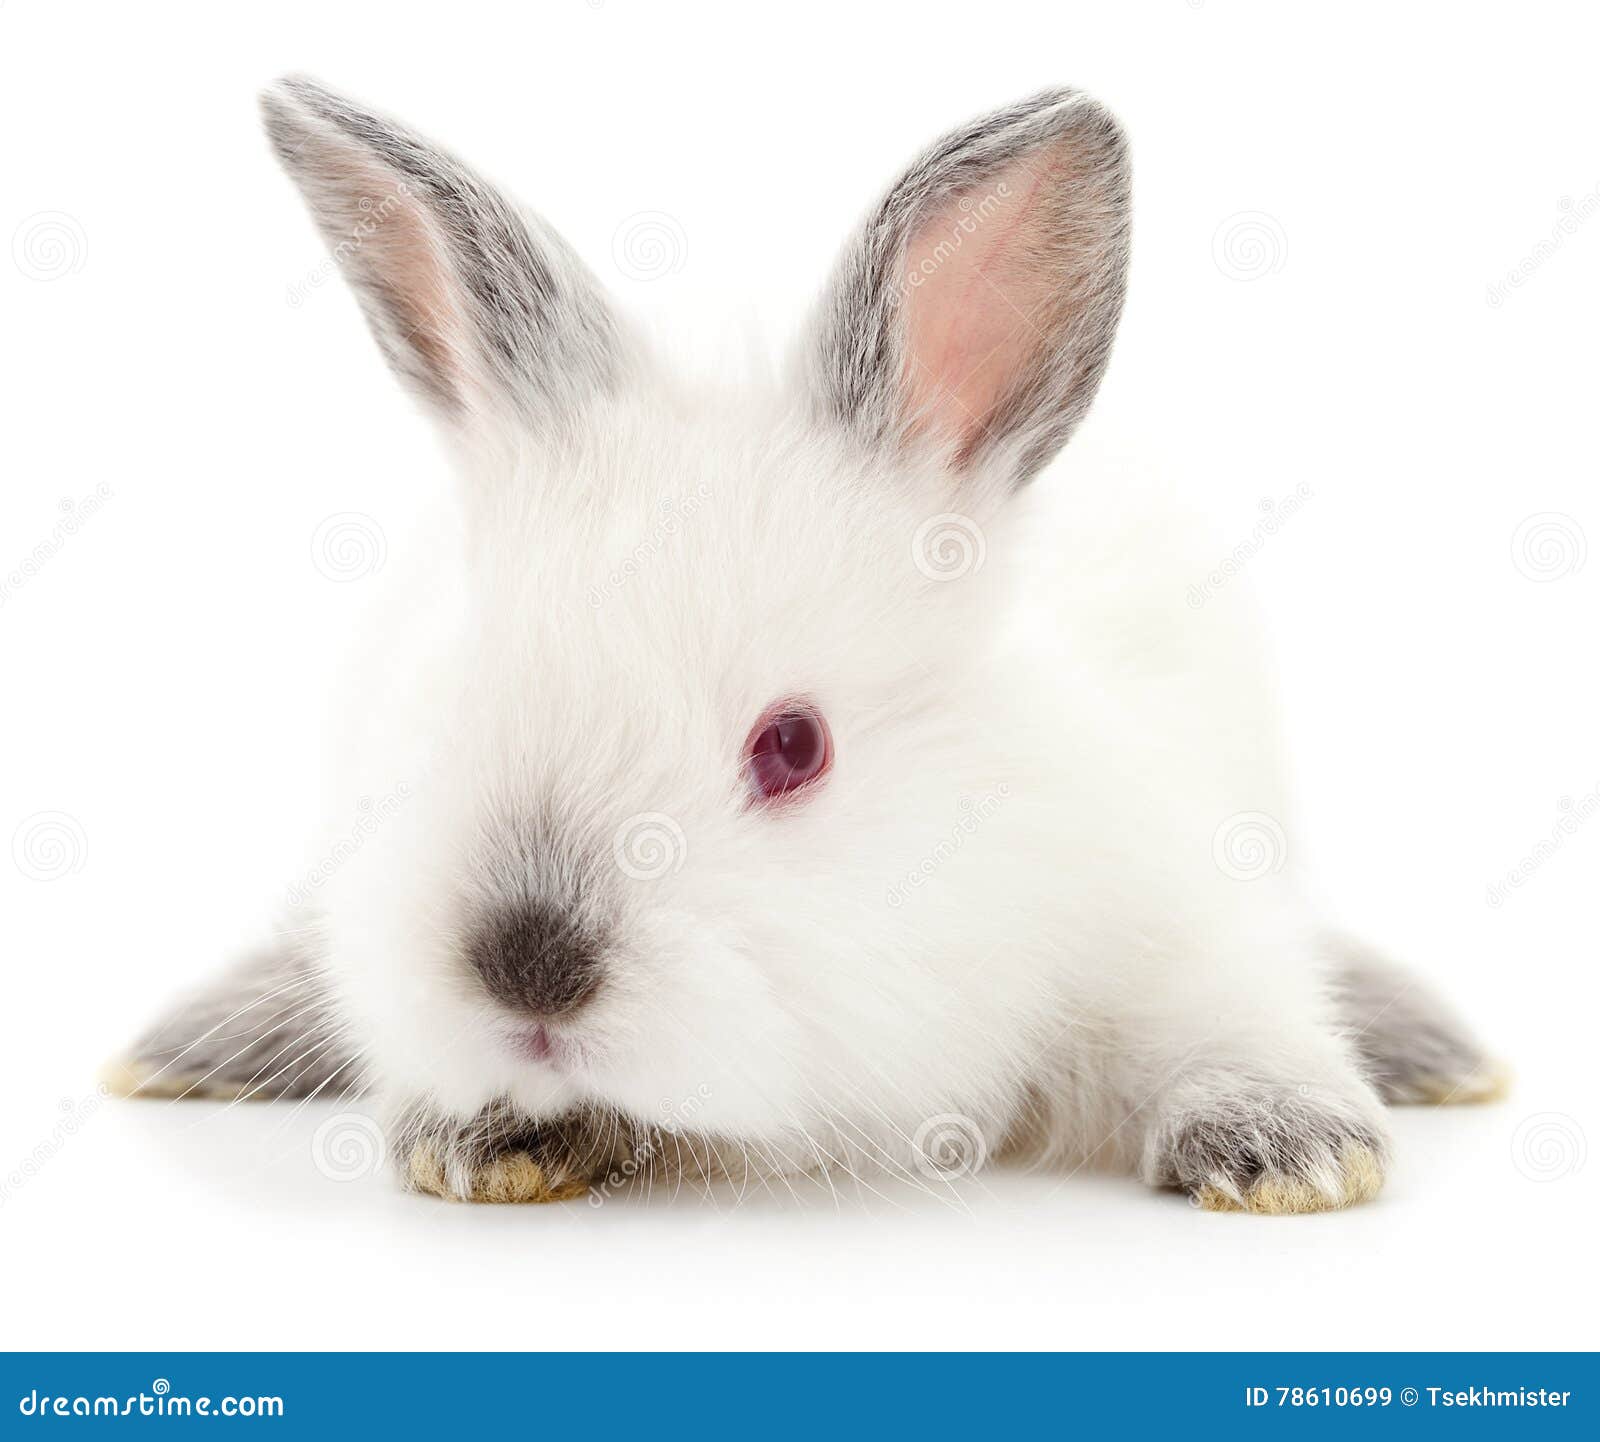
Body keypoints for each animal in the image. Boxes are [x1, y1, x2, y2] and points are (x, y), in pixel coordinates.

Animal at [107, 76, 1505, 1212]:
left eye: (793, 748)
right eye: (449, 708)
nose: (526, 968)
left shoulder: (1176, 912)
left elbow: (1239, 1019)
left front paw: (1291, 1148)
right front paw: (485, 1137)